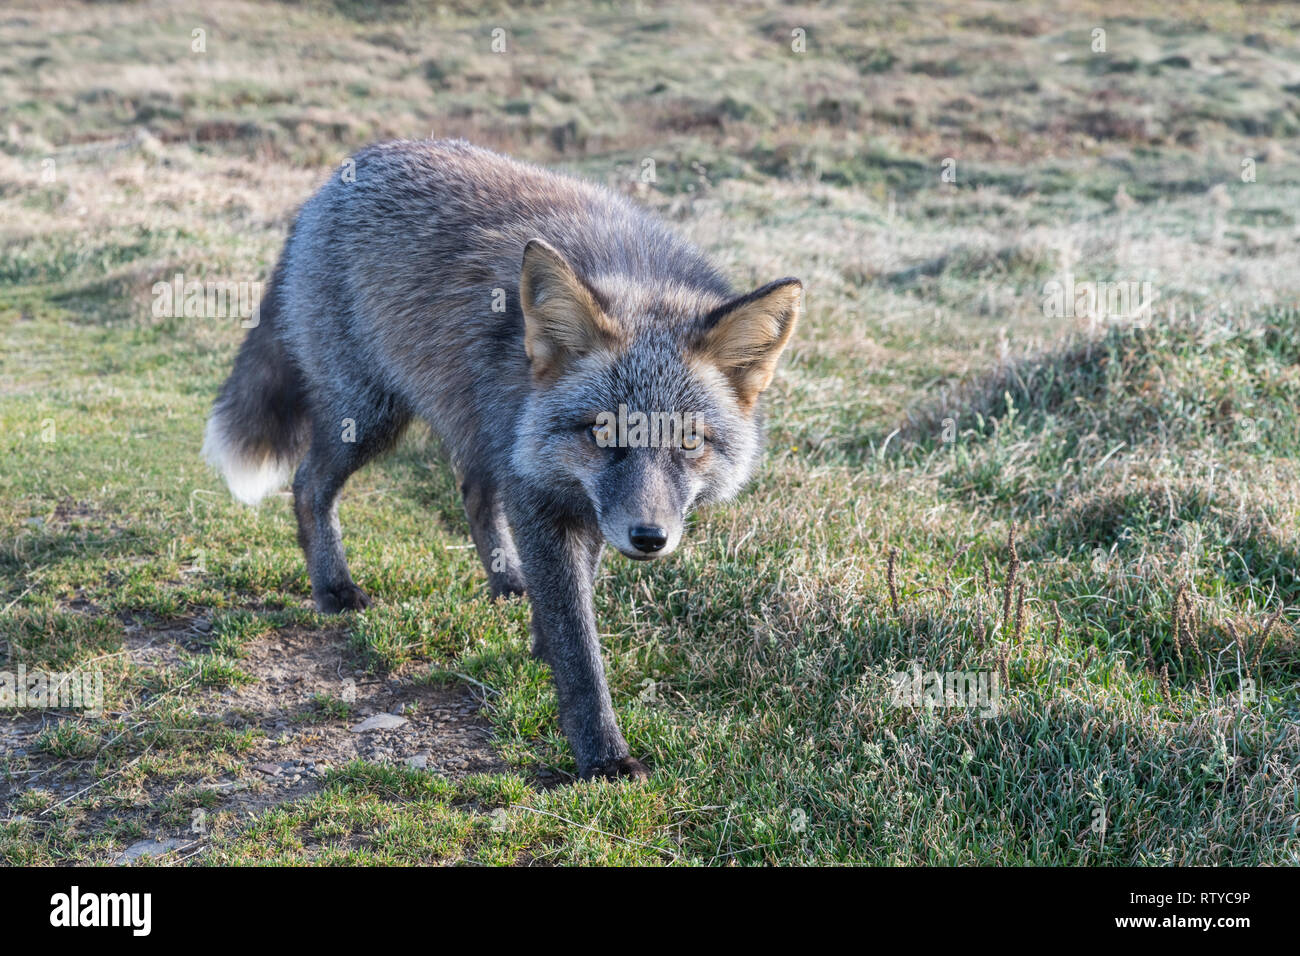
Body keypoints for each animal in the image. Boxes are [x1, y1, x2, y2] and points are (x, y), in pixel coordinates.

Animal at [202, 139, 802, 780]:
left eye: (690, 441)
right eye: (601, 431)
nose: (649, 538)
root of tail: (346, 170)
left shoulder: (570, 494)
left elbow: (575, 595)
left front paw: (541, 637)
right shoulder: (544, 494)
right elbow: (579, 646)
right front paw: (602, 754)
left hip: (479, 430)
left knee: (471, 491)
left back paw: (507, 580)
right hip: (368, 419)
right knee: (307, 483)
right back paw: (334, 588)